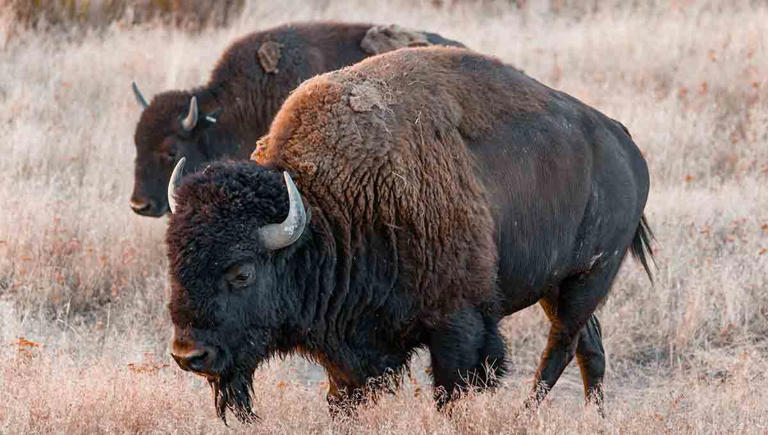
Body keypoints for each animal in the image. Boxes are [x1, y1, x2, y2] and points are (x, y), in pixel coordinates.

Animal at [165, 46, 653, 423]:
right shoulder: (350, 350)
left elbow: (453, 391)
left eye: (242, 273)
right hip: (557, 285)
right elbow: (343, 398)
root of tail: (624, 142)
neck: (330, 208)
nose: (189, 355)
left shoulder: (459, 324)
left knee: (561, 347)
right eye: (174, 263)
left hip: (589, 277)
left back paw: (527, 414)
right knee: (589, 346)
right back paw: (595, 417)